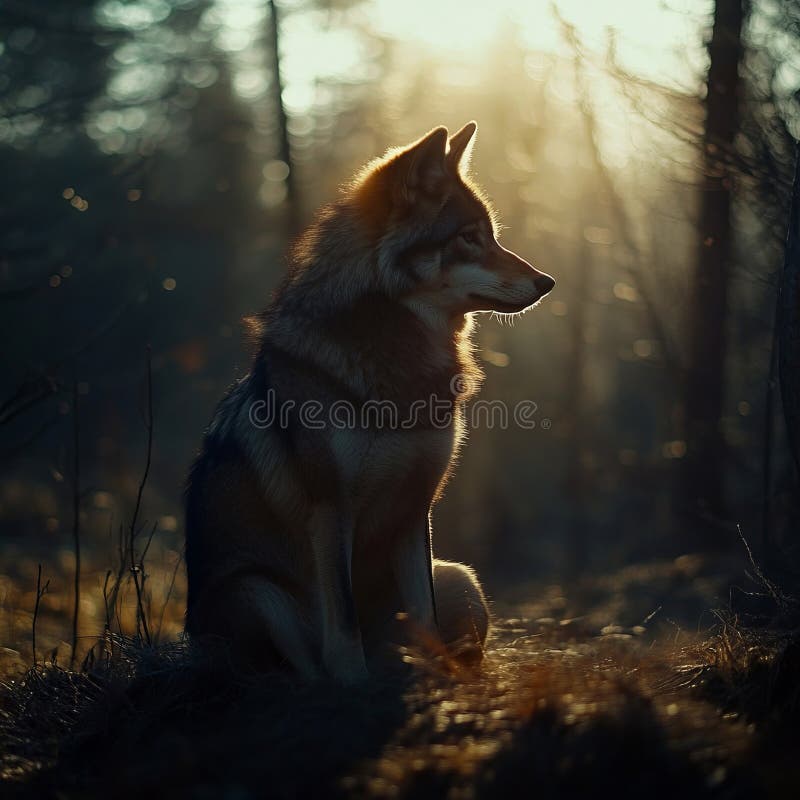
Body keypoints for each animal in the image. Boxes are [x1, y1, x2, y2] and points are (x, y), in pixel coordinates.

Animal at [185, 122, 554, 682]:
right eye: (470, 238)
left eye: (492, 235)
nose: (547, 282)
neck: (397, 355)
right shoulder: (330, 509)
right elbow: (343, 623)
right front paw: (355, 682)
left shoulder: (416, 506)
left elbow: (423, 613)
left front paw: (433, 680)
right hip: (257, 590)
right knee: (306, 670)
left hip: (462, 578)